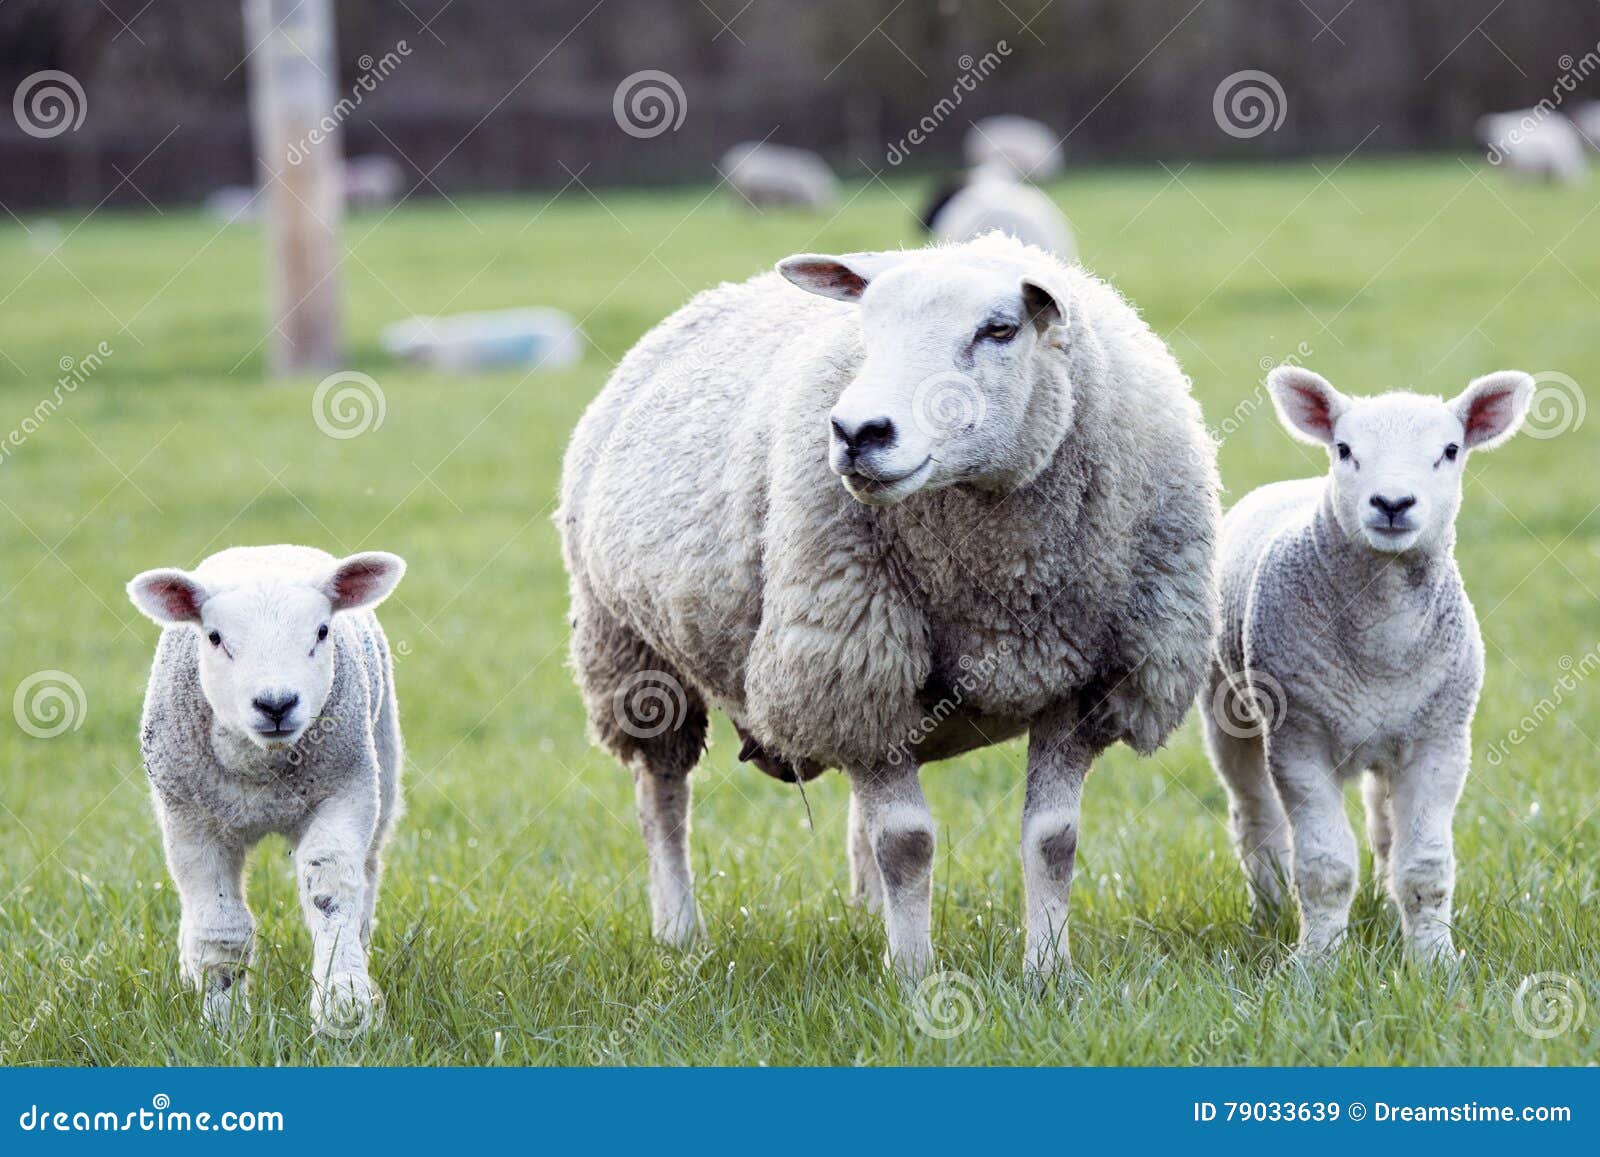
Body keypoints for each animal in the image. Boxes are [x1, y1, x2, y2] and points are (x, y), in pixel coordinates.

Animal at [127, 545, 407, 1033]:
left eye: (321, 631)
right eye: (215, 637)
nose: (276, 704)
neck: (260, 771)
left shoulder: (346, 792)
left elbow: (330, 891)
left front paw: (343, 1004)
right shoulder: (190, 819)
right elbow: (219, 924)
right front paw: (222, 1020)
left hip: (382, 768)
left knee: (368, 871)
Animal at [559, 231, 1219, 979]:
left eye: (1000, 329)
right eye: (866, 328)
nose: (857, 432)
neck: (1004, 581)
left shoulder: (1082, 684)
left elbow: (1054, 839)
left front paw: (1048, 971)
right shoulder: (857, 663)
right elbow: (907, 842)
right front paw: (912, 974)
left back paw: (865, 911)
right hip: (636, 655)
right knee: (663, 796)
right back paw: (678, 929)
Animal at [1201, 367, 1533, 962]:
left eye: (1450, 450)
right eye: (1344, 449)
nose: (1393, 502)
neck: (1382, 646)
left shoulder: (1442, 741)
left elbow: (1425, 867)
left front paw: (1435, 962)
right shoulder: (1298, 739)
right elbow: (1324, 867)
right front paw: (1316, 962)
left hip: (1392, 734)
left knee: (1382, 824)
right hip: (1228, 709)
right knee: (1254, 816)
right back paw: (1270, 911)